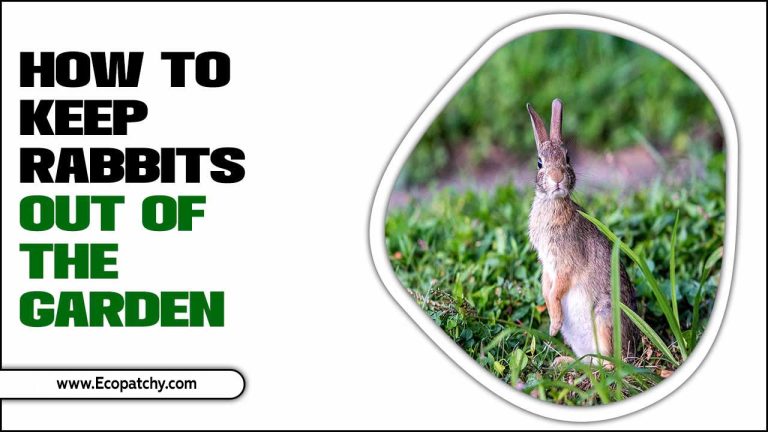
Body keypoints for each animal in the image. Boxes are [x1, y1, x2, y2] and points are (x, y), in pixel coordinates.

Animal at [526, 99, 637, 366]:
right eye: (539, 163)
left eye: (568, 158)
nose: (557, 178)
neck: (553, 203)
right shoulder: (547, 265)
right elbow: (547, 287)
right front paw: (552, 324)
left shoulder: (567, 262)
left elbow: (558, 288)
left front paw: (553, 324)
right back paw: (564, 362)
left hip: (604, 315)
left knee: (610, 365)